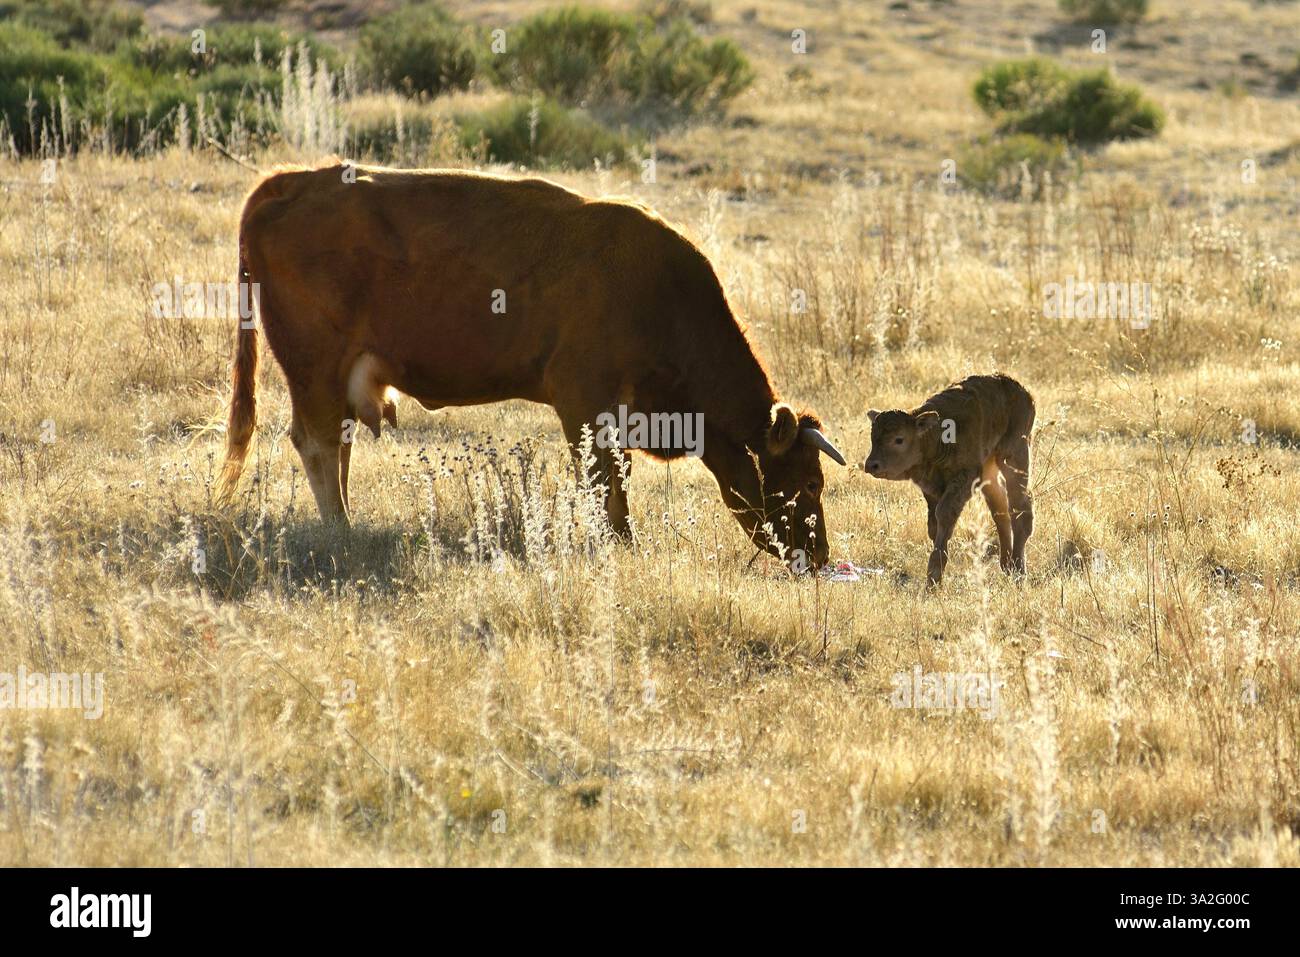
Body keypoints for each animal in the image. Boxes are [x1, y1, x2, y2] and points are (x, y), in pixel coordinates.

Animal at [216, 163, 847, 567]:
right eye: (809, 483)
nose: (819, 557)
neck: (662, 295)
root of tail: (297, 180)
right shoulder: (585, 401)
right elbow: (606, 485)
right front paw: (622, 548)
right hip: (314, 366)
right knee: (319, 443)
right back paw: (341, 531)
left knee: (336, 443)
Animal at [862, 374, 1035, 585]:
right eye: (873, 437)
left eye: (899, 439)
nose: (871, 465)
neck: (934, 437)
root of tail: (1022, 391)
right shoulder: (930, 487)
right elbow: (933, 525)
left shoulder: (964, 479)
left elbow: (944, 514)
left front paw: (934, 578)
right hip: (989, 468)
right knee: (1000, 507)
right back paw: (1007, 565)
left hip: (1014, 455)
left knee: (1020, 507)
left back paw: (1018, 569)